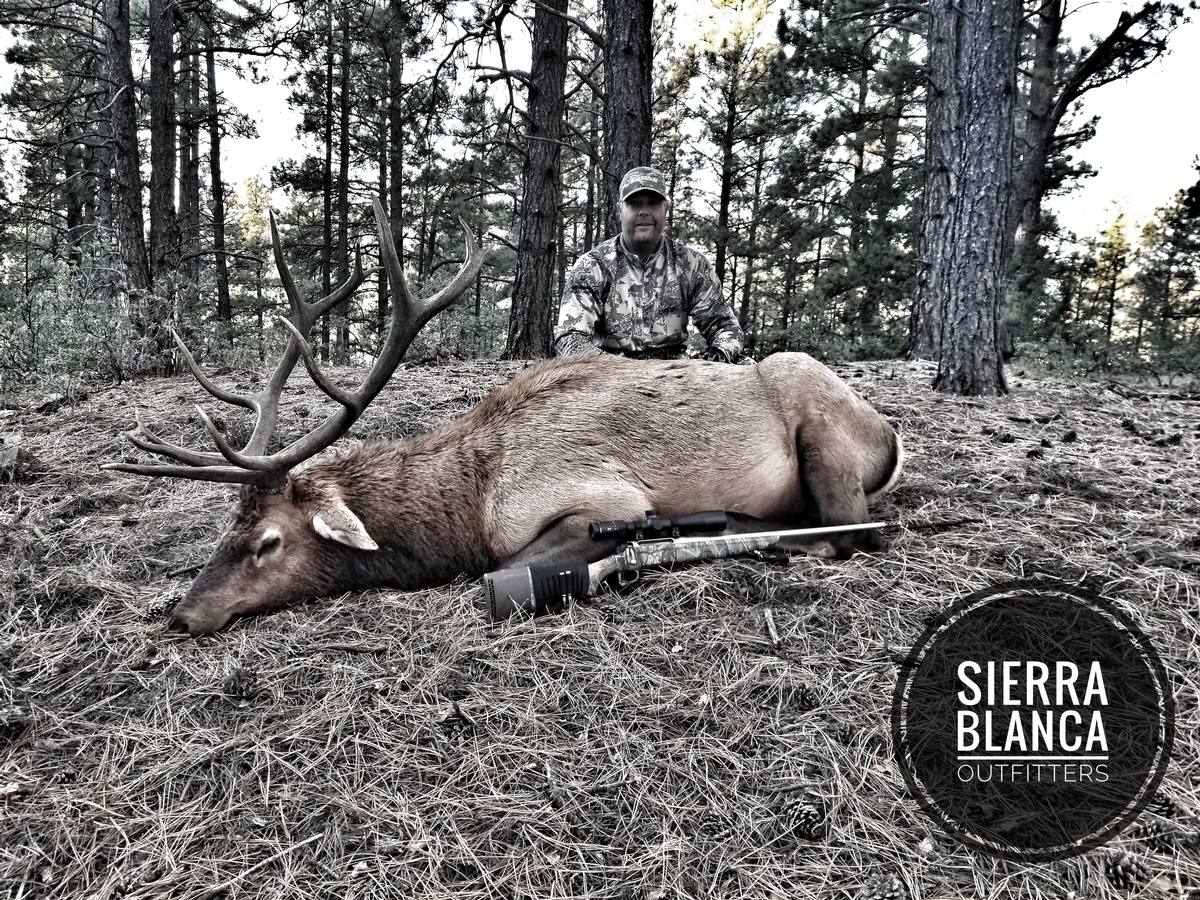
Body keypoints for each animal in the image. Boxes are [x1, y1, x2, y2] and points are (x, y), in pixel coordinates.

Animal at [106, 200, 903, 636]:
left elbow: (512, 566)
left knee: (848, 533)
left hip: (819, 424)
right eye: (224, 532)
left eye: (267, 542)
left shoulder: (606, 499)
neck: (468, 504)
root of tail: (891, 433)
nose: (180, 614)